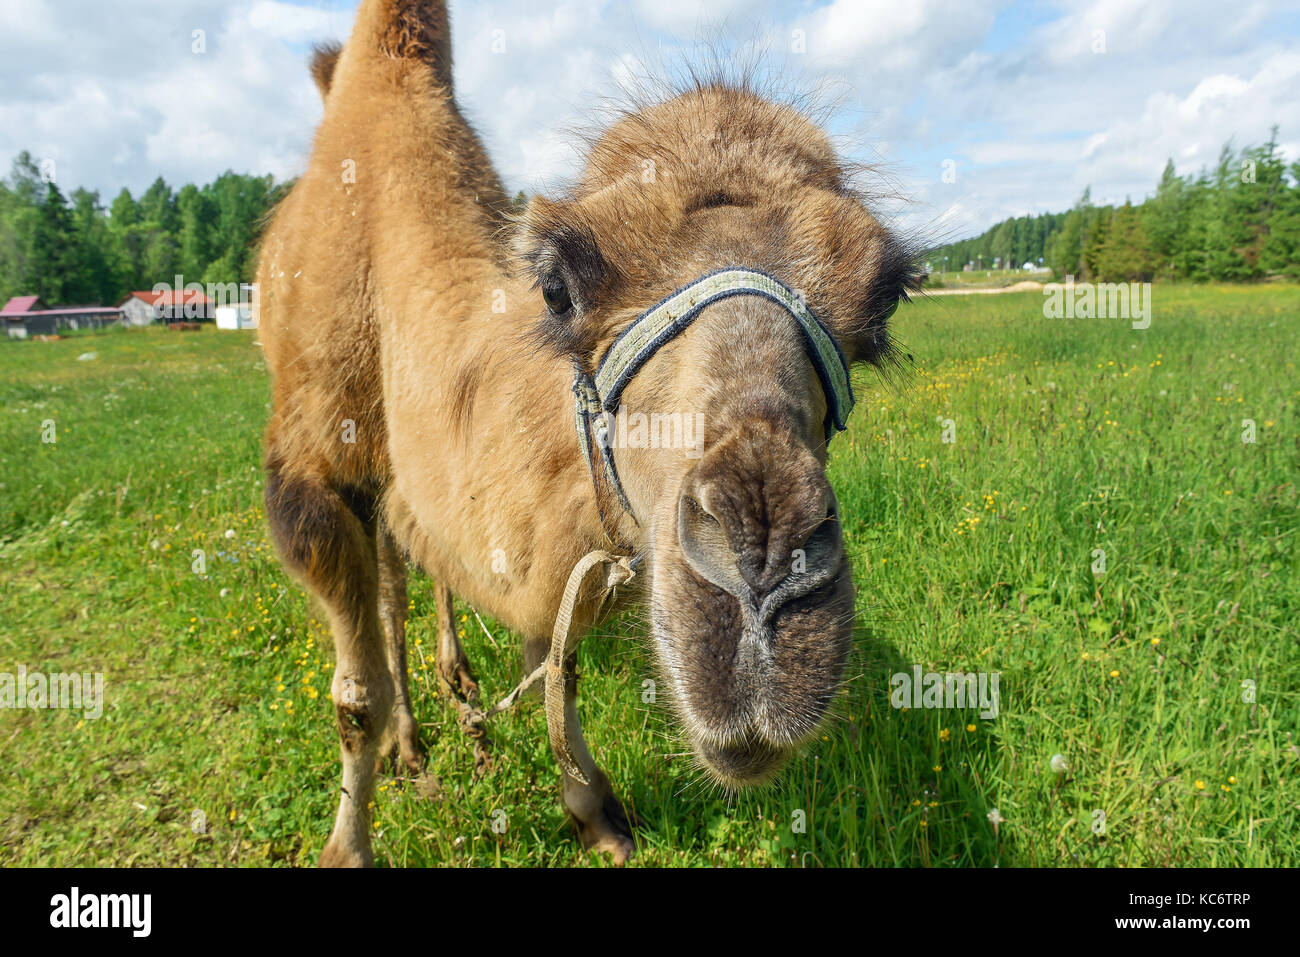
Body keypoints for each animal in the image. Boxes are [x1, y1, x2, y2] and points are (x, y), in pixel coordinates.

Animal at [258, 0, 918, 866]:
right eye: (556, 284)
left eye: (882, 303)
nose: (767, 575)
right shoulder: (308, 471)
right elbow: (354, 697)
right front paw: (348, 844)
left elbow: (554, 655)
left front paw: (594, 811)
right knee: (394, 582)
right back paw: (416, 741)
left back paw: (459, 698)